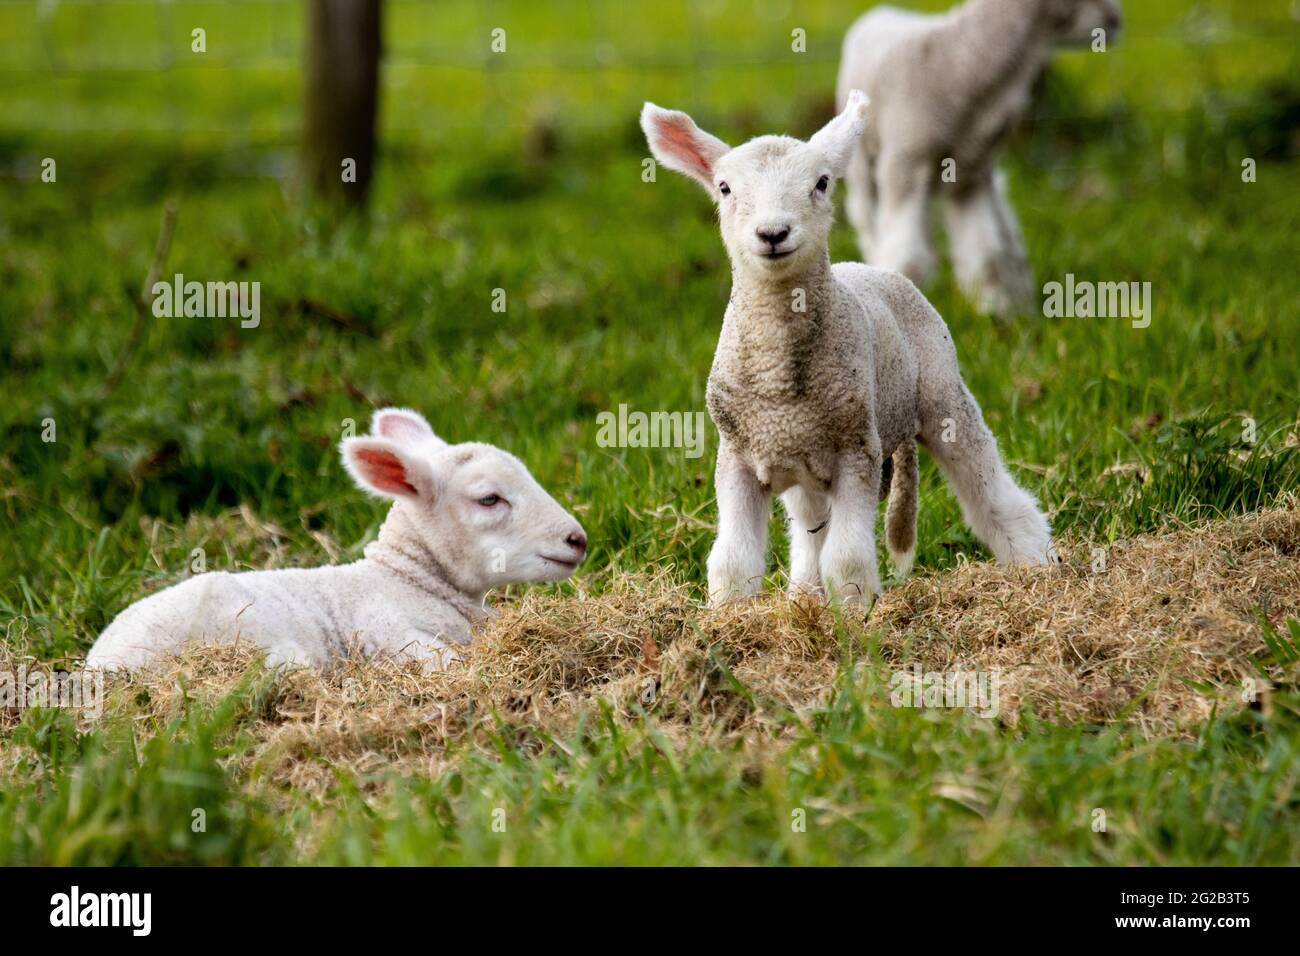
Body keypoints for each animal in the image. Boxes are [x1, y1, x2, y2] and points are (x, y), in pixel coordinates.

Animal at [641, 90, 1057, 608]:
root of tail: (868, 267)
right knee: (809, 530)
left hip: (943, 394)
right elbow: (734, 558)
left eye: (821, 183)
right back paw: (804, 594)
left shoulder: (855, 449)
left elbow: (846, 556)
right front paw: (731, 612)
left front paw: (854, 611)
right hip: (806, 466)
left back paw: (1038, 561)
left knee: (990, 492)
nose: (773, 233)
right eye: (724, 189)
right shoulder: (738, 455)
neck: (780, 378)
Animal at [836, 0, 1123, 316]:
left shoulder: (968, 177)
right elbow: (907, 254)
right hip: (863, 161)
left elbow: (985, 253)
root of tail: (880, 11)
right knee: (866, 218)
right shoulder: (904, 160)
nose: (1116, 20)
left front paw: (994, 310)